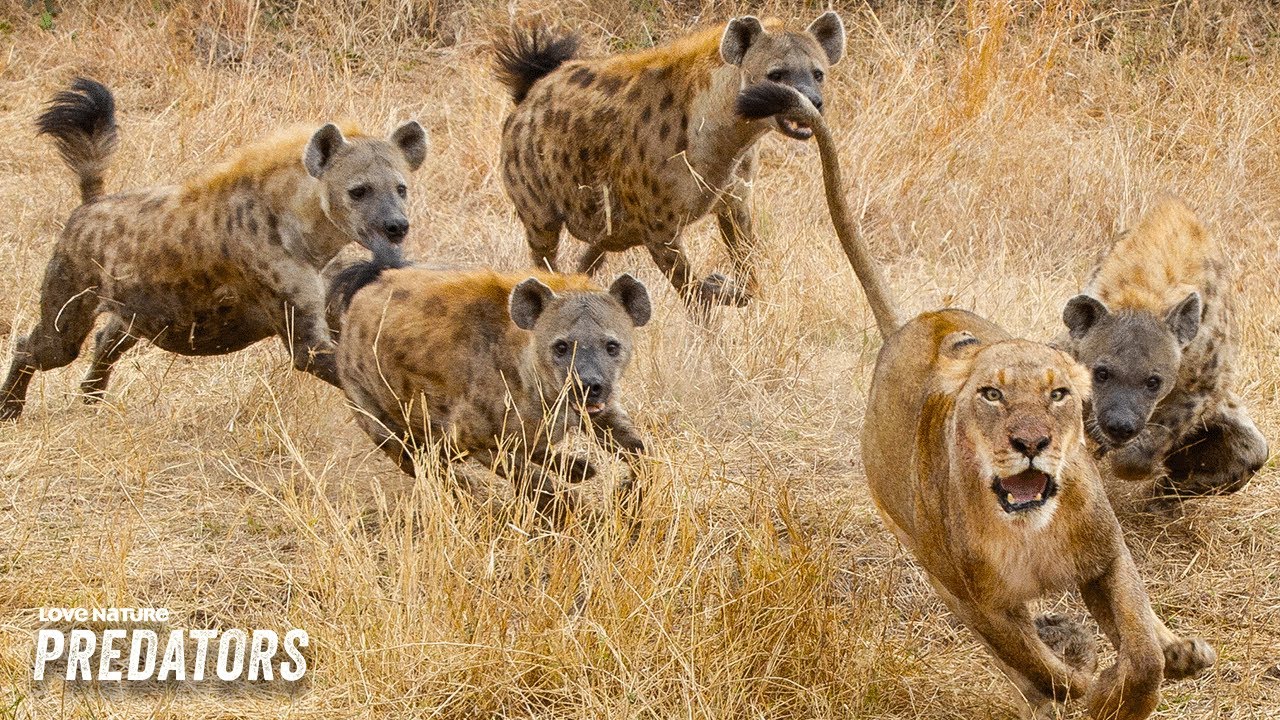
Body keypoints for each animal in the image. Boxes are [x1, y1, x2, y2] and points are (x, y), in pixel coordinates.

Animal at [736, 83, 1215, 717]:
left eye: (1060, 394)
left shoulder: (1106, 560)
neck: (1028, 533)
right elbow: (1041, 668)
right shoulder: (981, 605)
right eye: (991, 395)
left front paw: (1131, 682)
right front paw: (1083, 682)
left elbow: (1141, 654)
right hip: (930, 560)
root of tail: (907, 328)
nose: (1032, 442)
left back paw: (1180, 649)